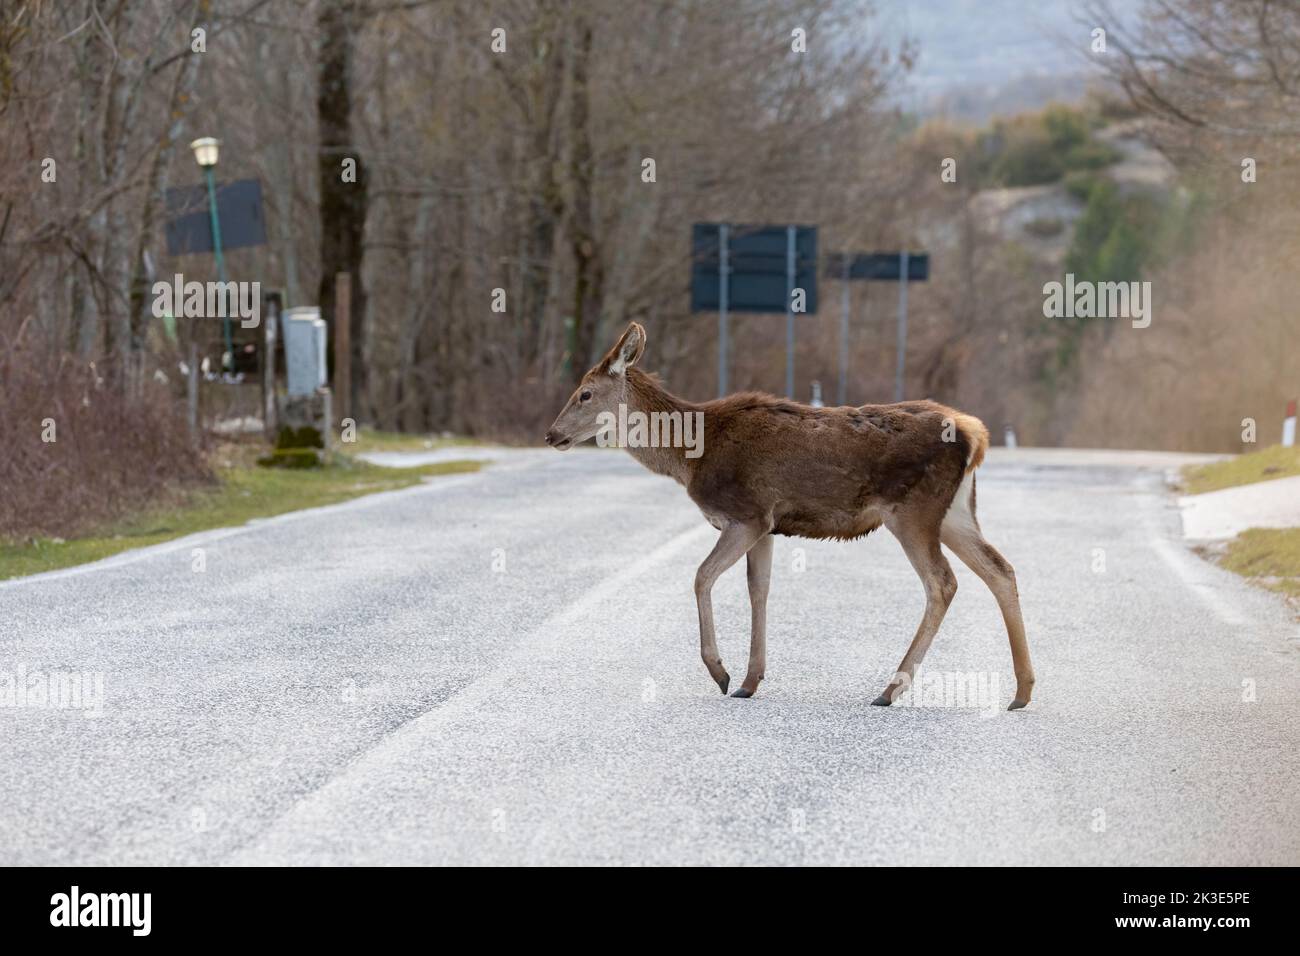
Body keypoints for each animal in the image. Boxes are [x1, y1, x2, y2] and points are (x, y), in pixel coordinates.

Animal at [544, 322, 1035, 710]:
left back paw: (890, 689)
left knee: (942, 582)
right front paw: (749, 680)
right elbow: (758, 590)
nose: (551, 434)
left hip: (913, 510)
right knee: (1000, 569)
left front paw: (720, 672)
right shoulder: (767, 526)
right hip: (955, 513)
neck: (691, 456)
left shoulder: (746, 514)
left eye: (585, 393)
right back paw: (1022, 690)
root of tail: (975, 434)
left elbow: (702, 576)